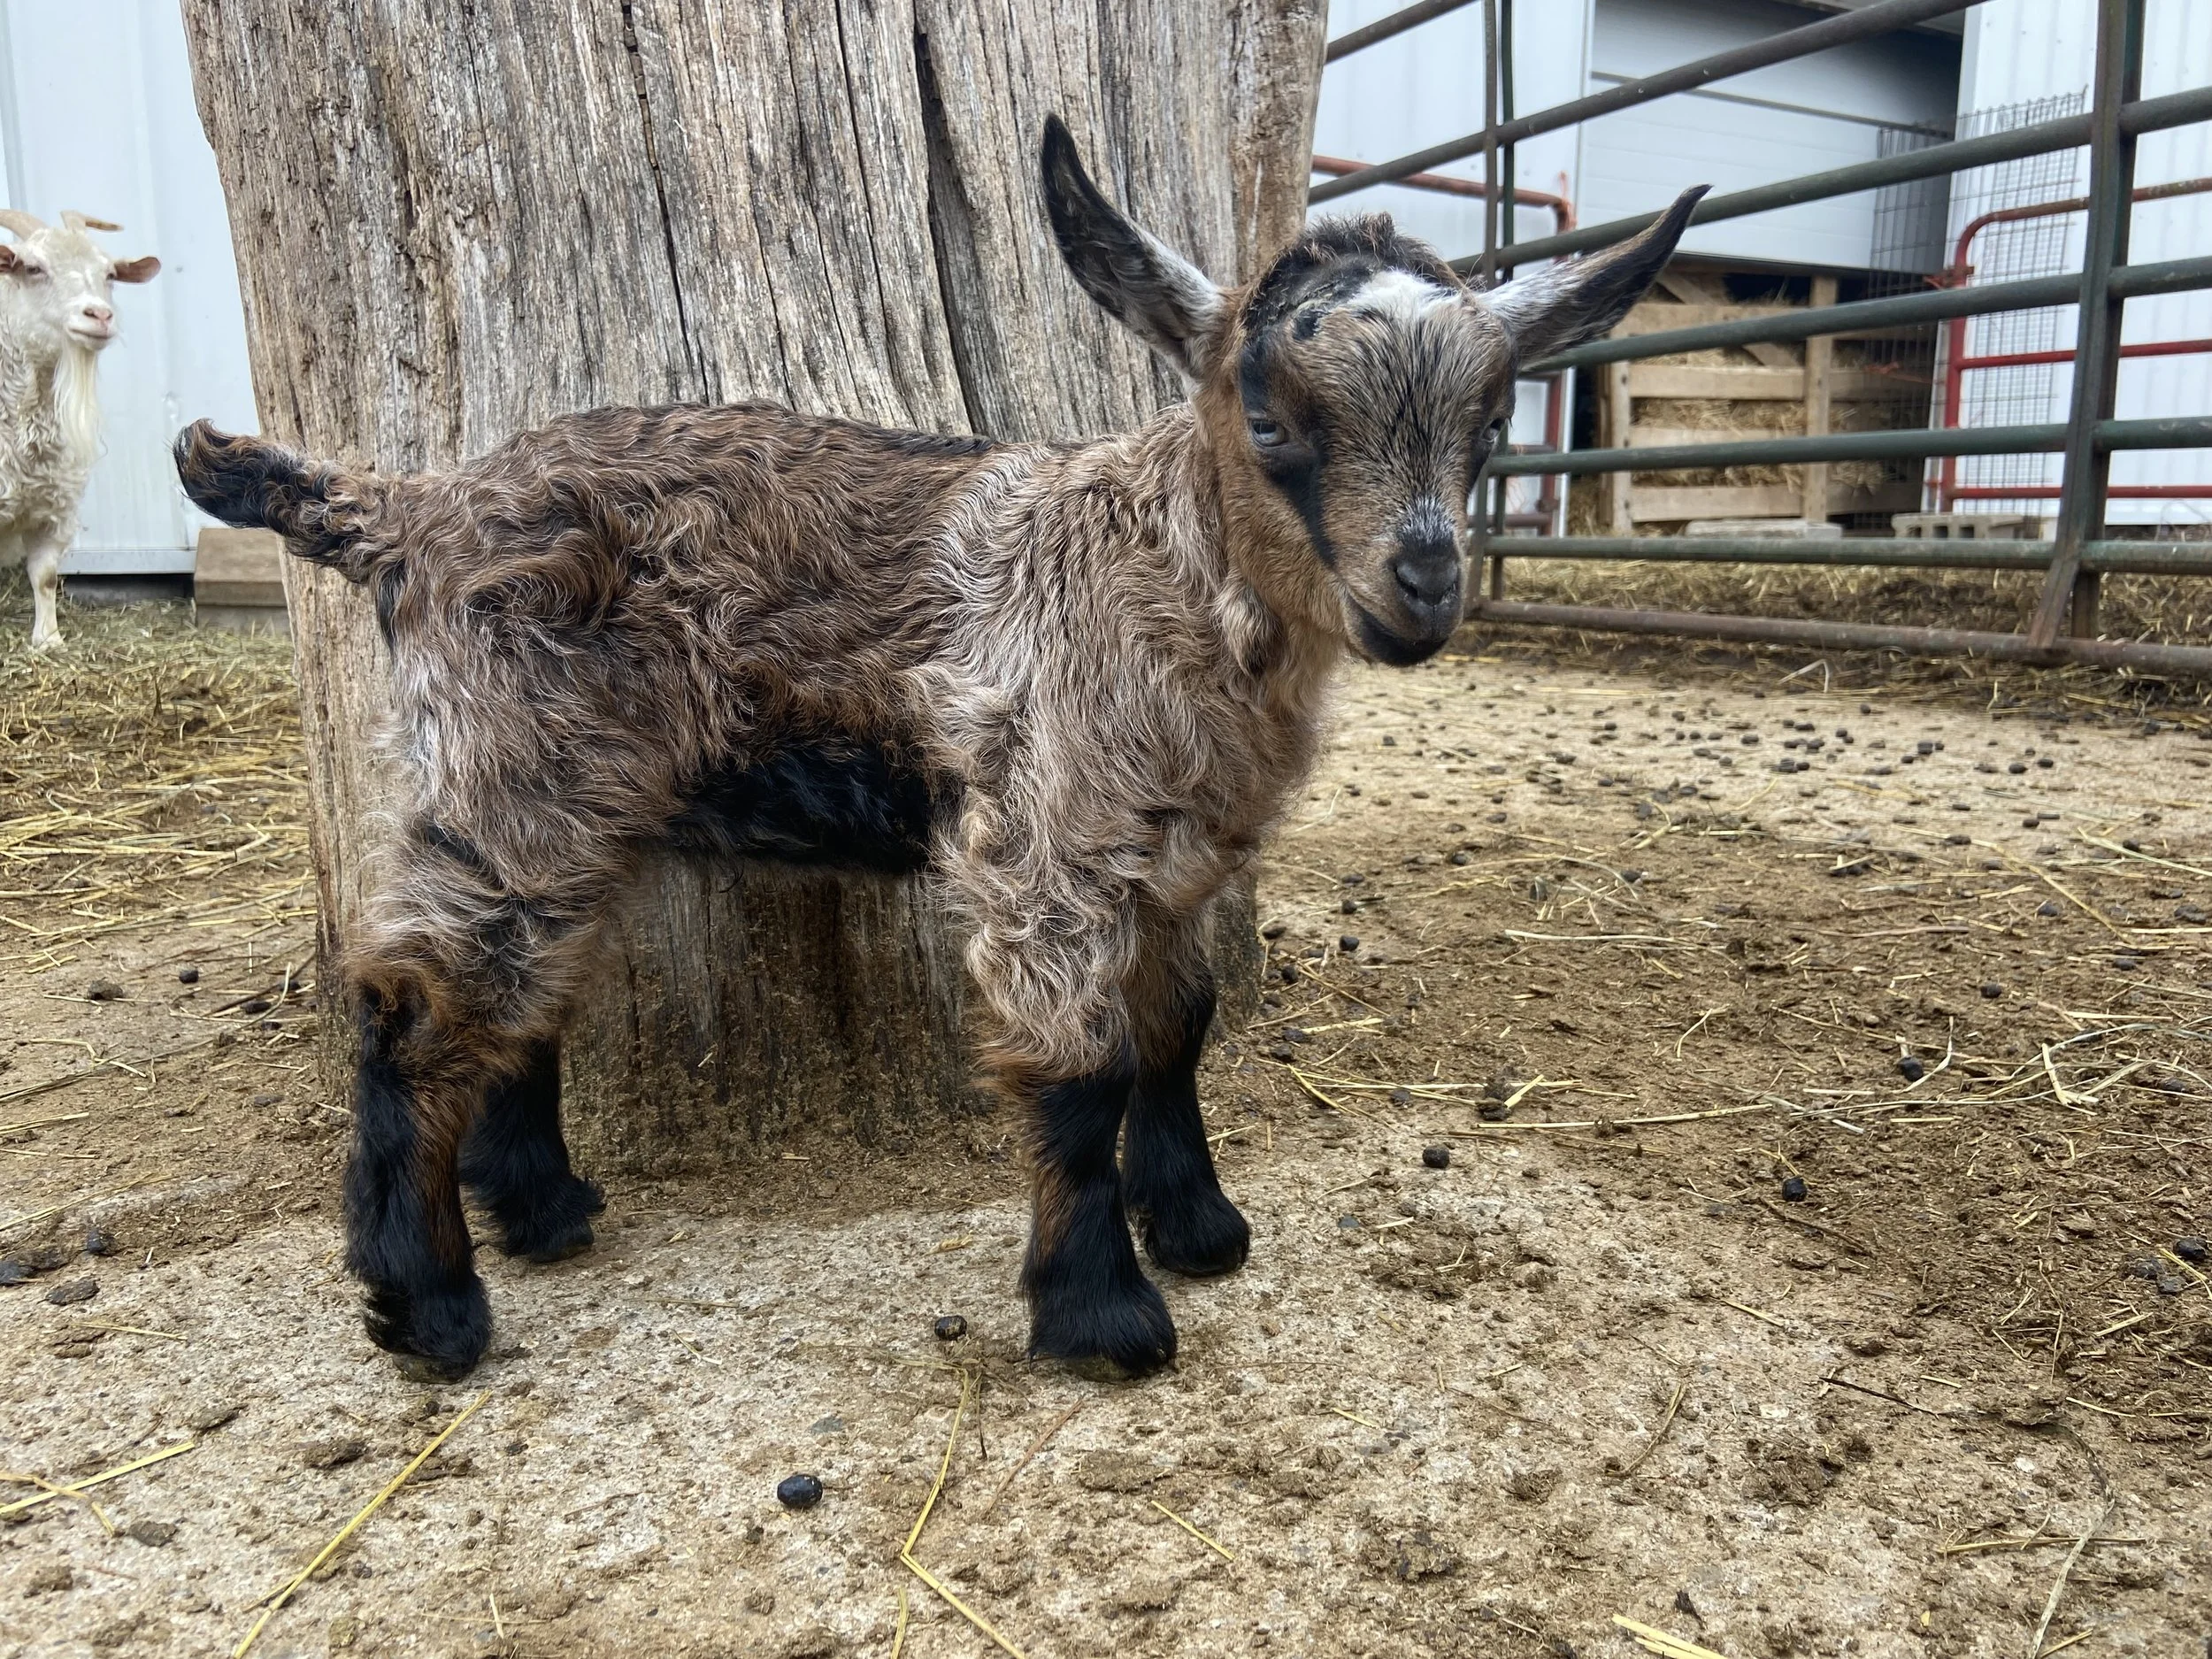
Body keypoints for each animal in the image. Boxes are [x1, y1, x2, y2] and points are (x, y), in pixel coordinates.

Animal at [0, 211, 158, 649]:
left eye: (109, 274)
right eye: (33, 268)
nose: (99, 316)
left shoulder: (57, 506)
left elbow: (44, 576)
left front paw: (49, 641)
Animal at [176, 119, 1701, 1381]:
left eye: (1491, 424)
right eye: (1271, 420)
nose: (1425, 589)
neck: (1165, 564)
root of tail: (416, 510)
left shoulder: (1179, 849)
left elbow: (1179, 1029)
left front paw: (1201, 1223)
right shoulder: (1048, 832)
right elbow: (1085, 1073)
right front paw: (1103, 1311)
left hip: (568, 783)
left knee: (524, 990)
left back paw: (544, 1208)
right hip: (510, 754)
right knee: (422, 1006)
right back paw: (429, 1301)